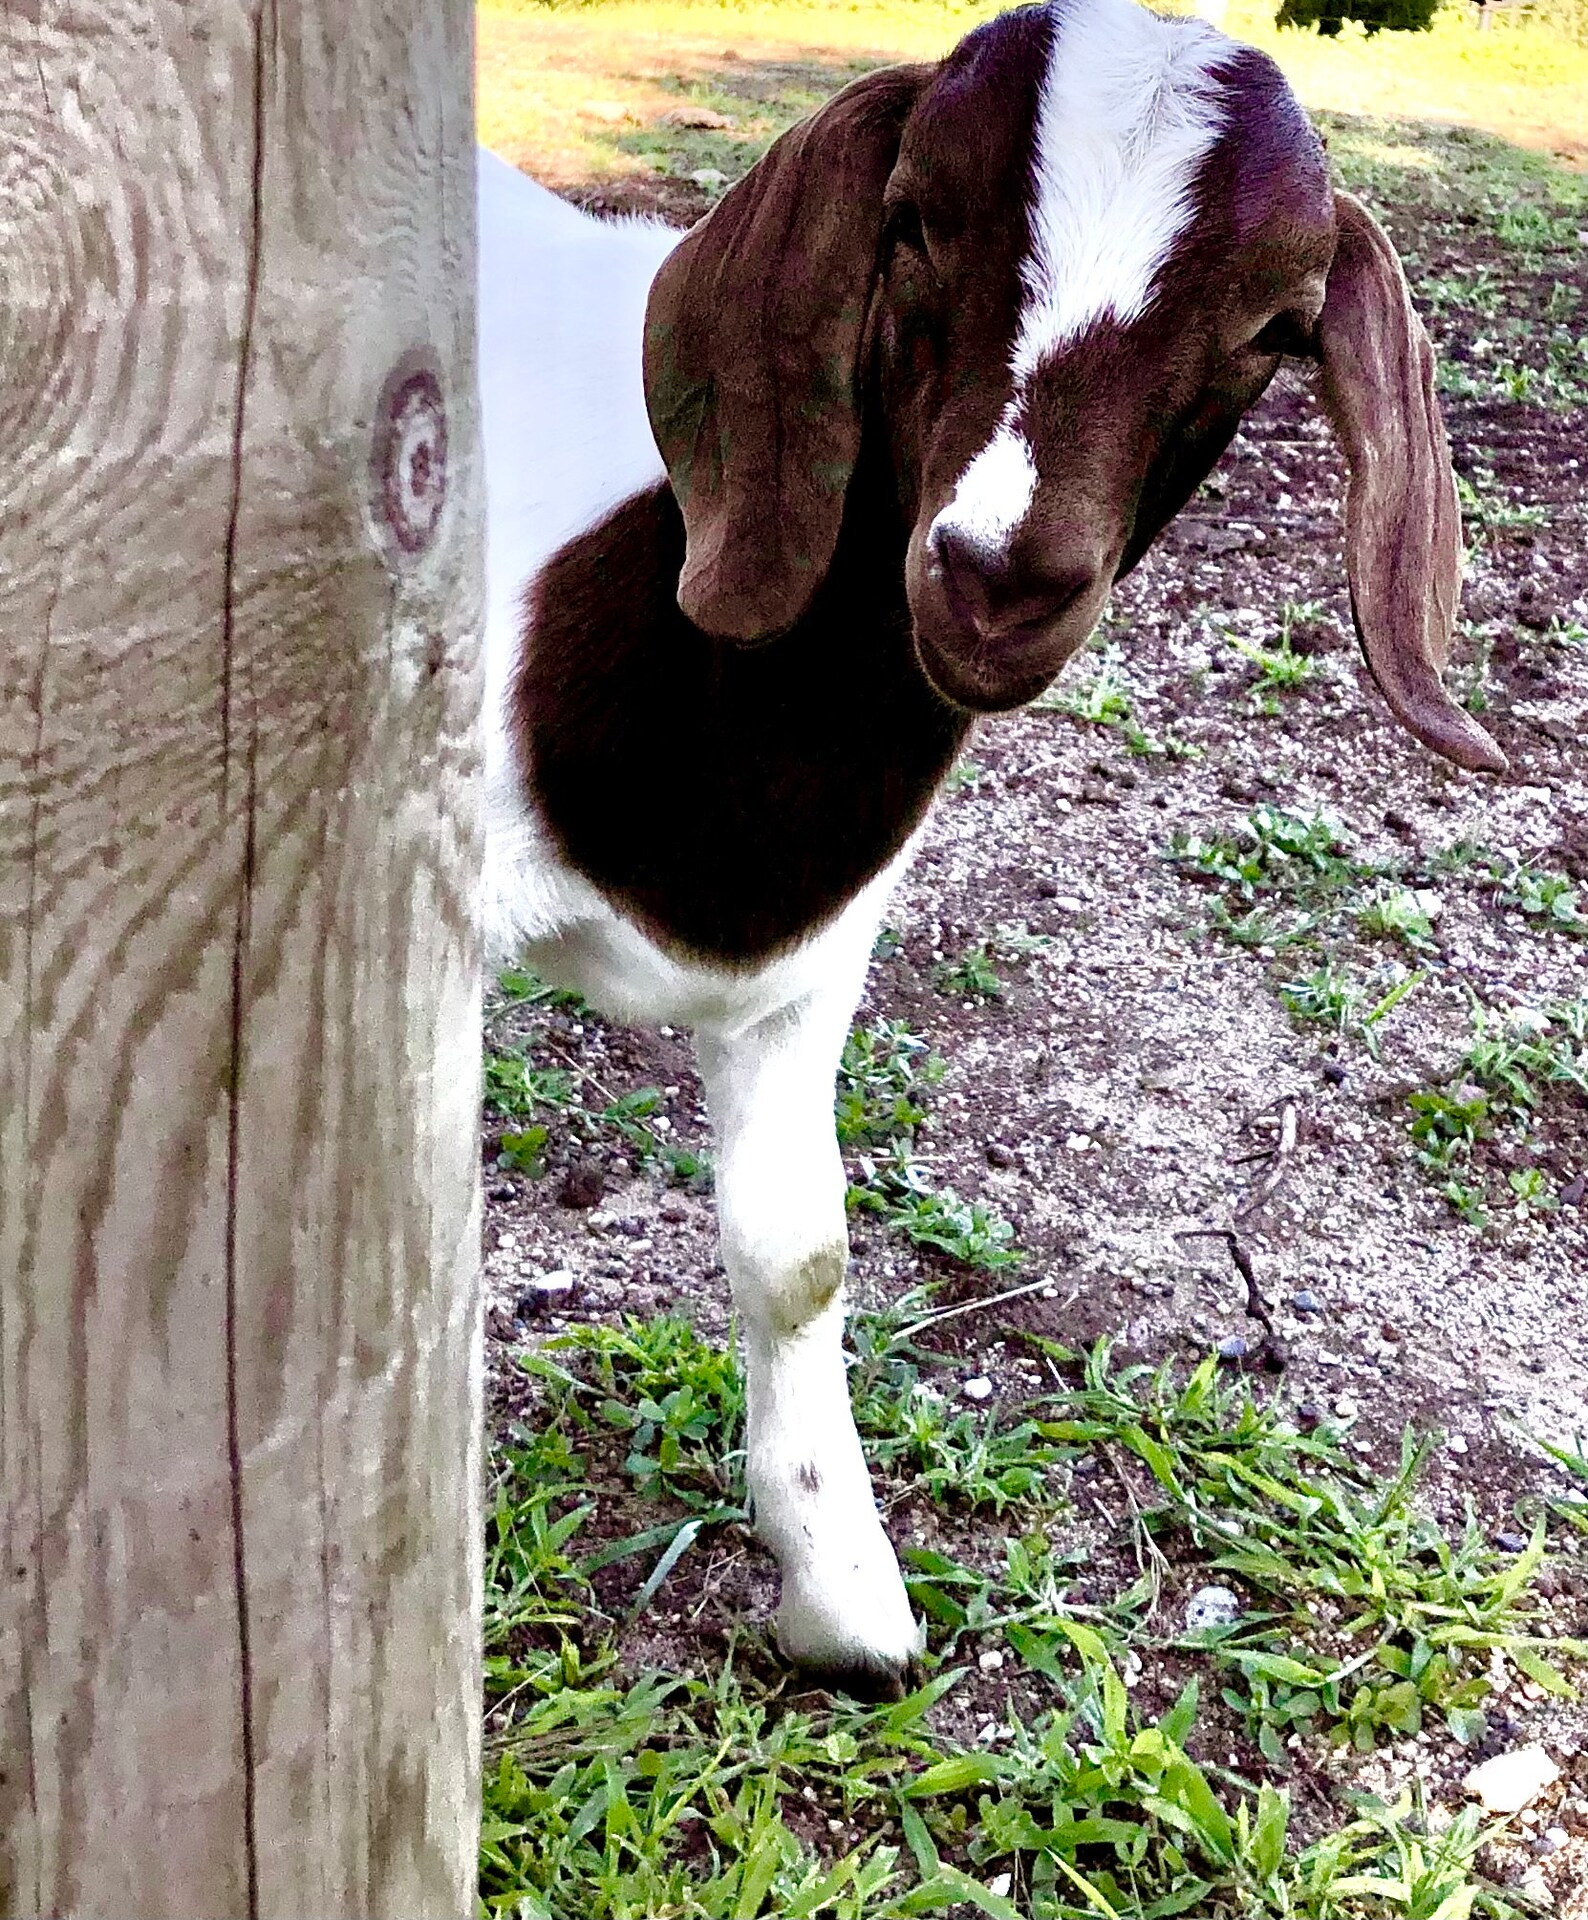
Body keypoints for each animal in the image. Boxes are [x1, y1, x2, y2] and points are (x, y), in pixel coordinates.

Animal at [477, 0, 1505, 1697]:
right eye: (909, 222)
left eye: (1273, 327)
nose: (996, 578)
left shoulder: (812, 966)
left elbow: (800, 1254)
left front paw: (844, 1602)